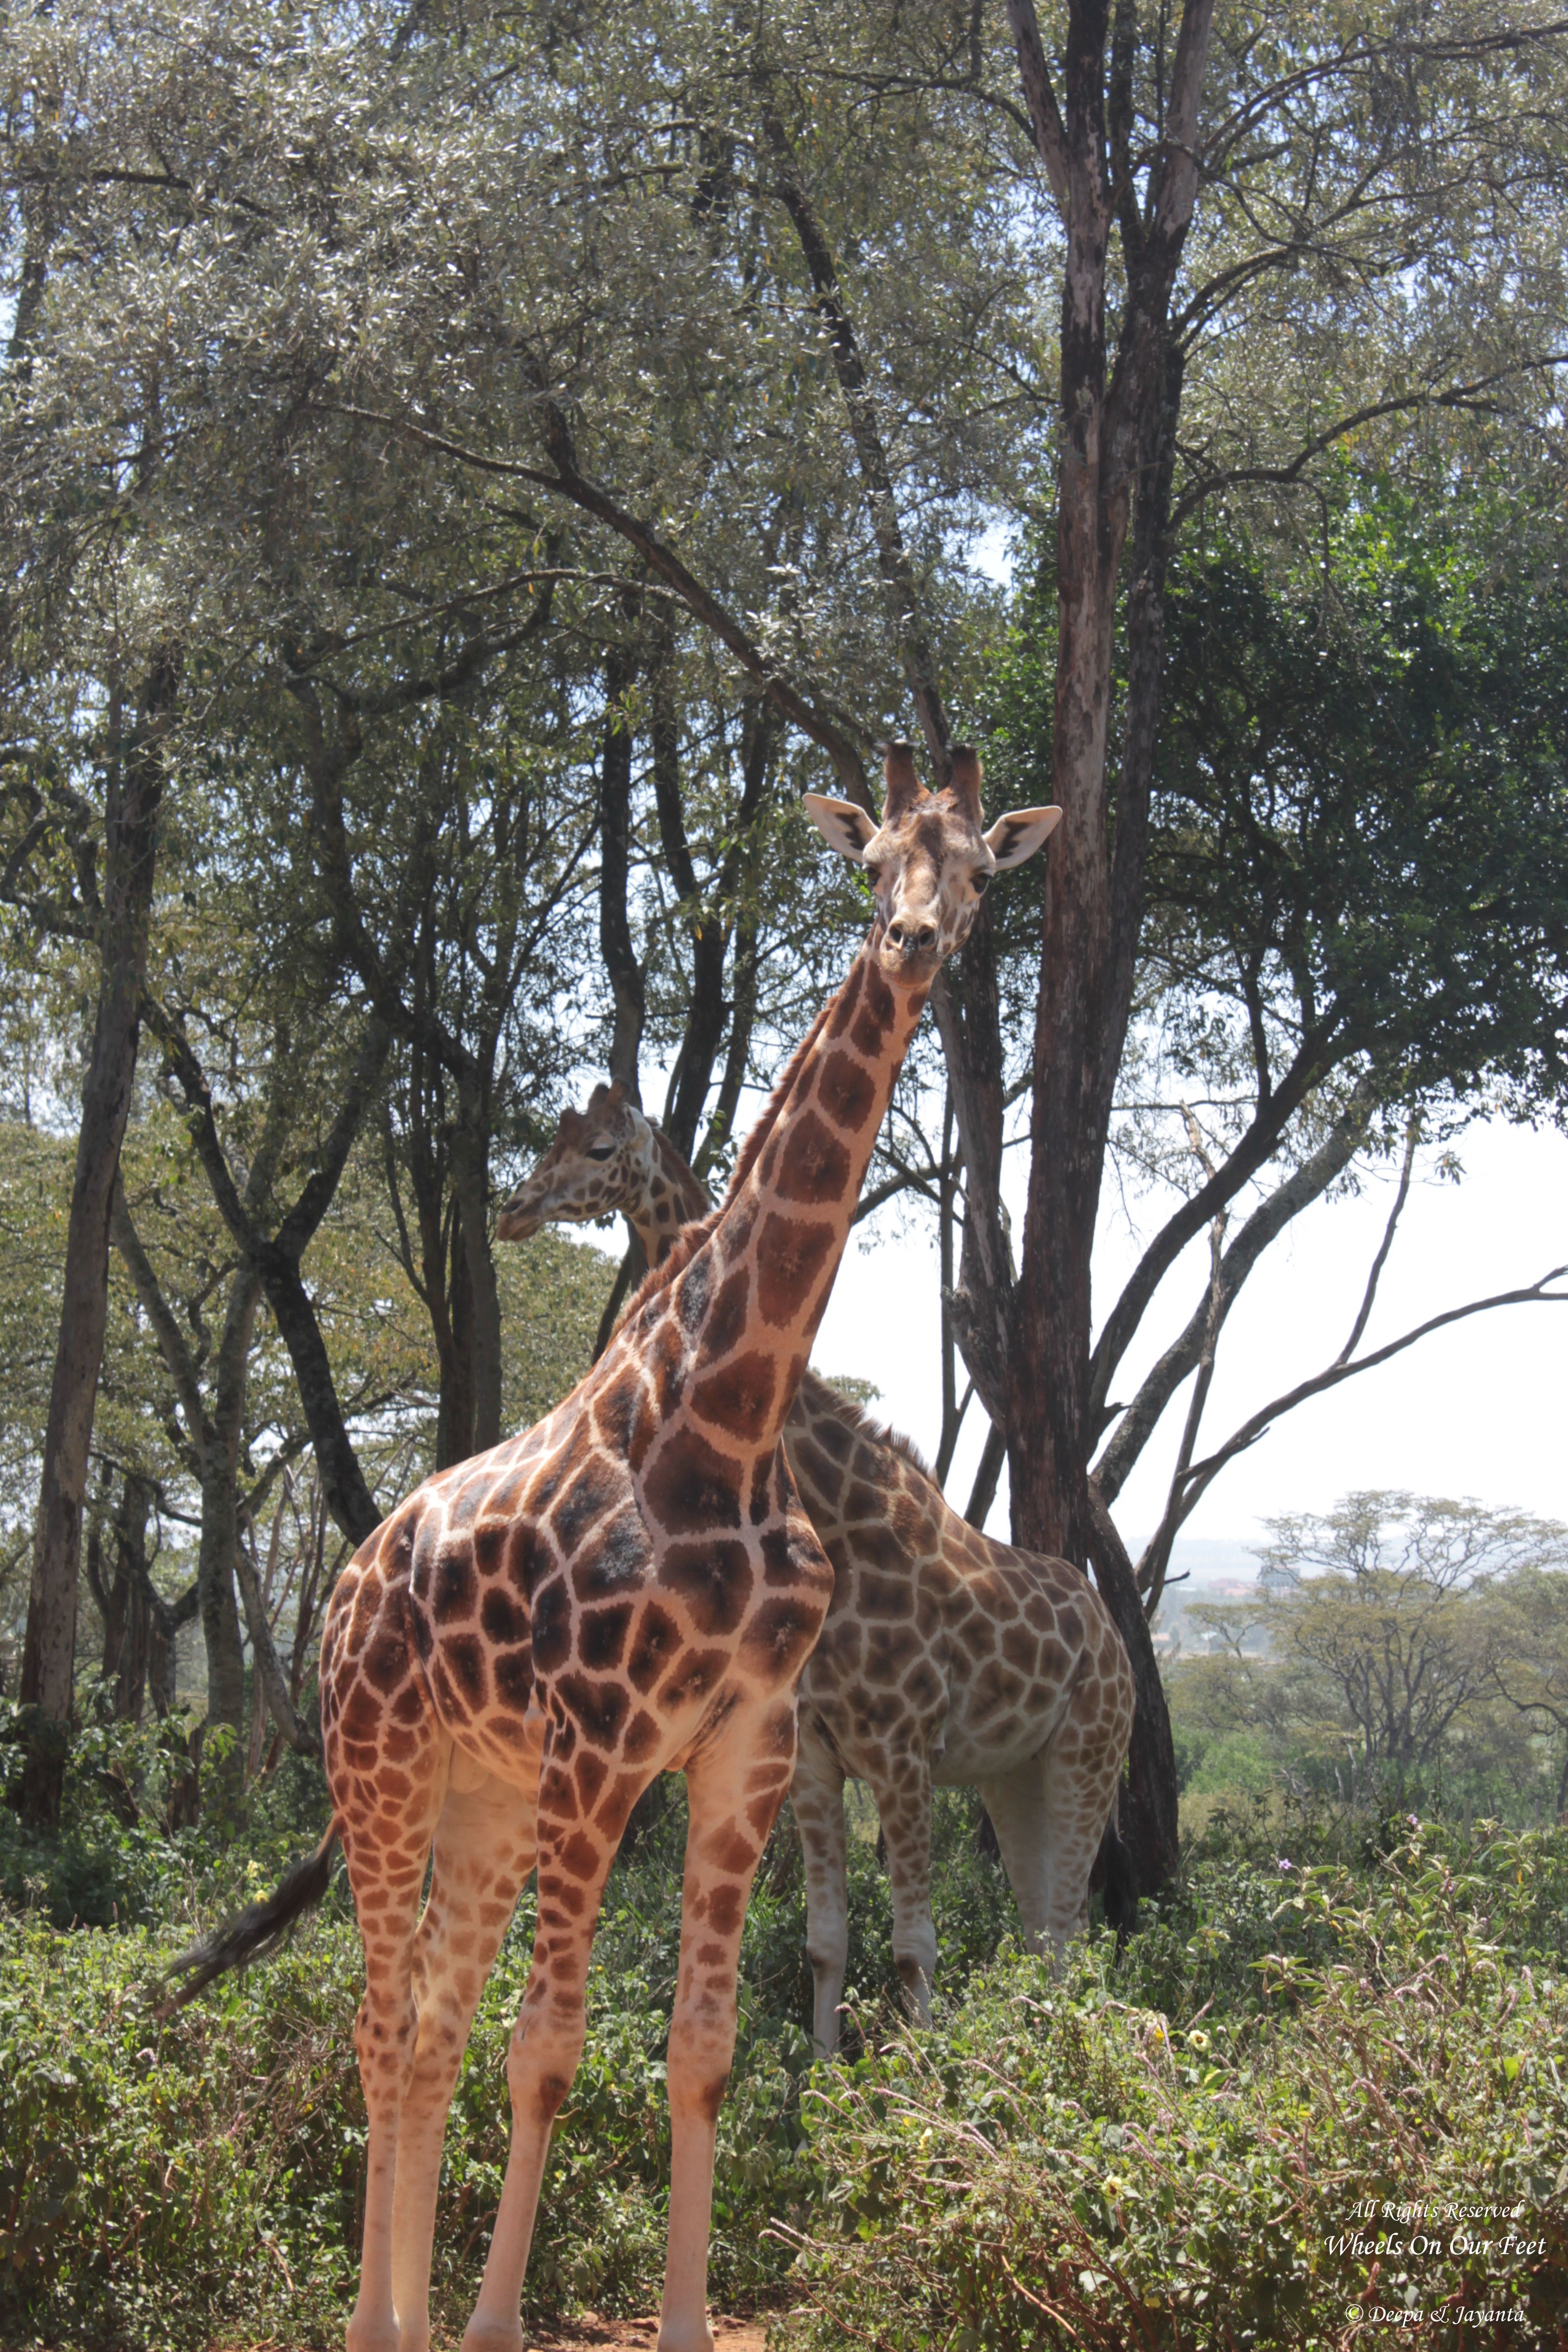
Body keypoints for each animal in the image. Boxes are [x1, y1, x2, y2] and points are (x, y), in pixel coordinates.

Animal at [170, 744, 1061, 2352]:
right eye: (872, 860)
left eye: (974, 870)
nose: (913, 941)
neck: (727, 1417)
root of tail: (340, 1588)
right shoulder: (599, 1745)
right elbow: (551, 2045)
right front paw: (489, 2328)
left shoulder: (743, 1746)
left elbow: (697, 2046)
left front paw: (679, 2322)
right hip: (384, 1766)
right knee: (381, 2019)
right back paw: (380, 2324)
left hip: (484, 1800)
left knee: (430, 2024)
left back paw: (399, 2319)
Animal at [499, 1088, 1136, 2051]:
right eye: (554, 1138)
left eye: (601, 1148)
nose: (514, 1208)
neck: (838, 1517)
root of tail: (1118, 1640)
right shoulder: (815, 1761)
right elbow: (824, 1940)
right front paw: (828, 2071)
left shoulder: (903, 1752)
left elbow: (913, 1945)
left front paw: (918, 2077)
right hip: (1011, 1773)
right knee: (1040, 1928)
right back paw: (1032, 2049)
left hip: (1089, 1752)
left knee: (1065, 1928)